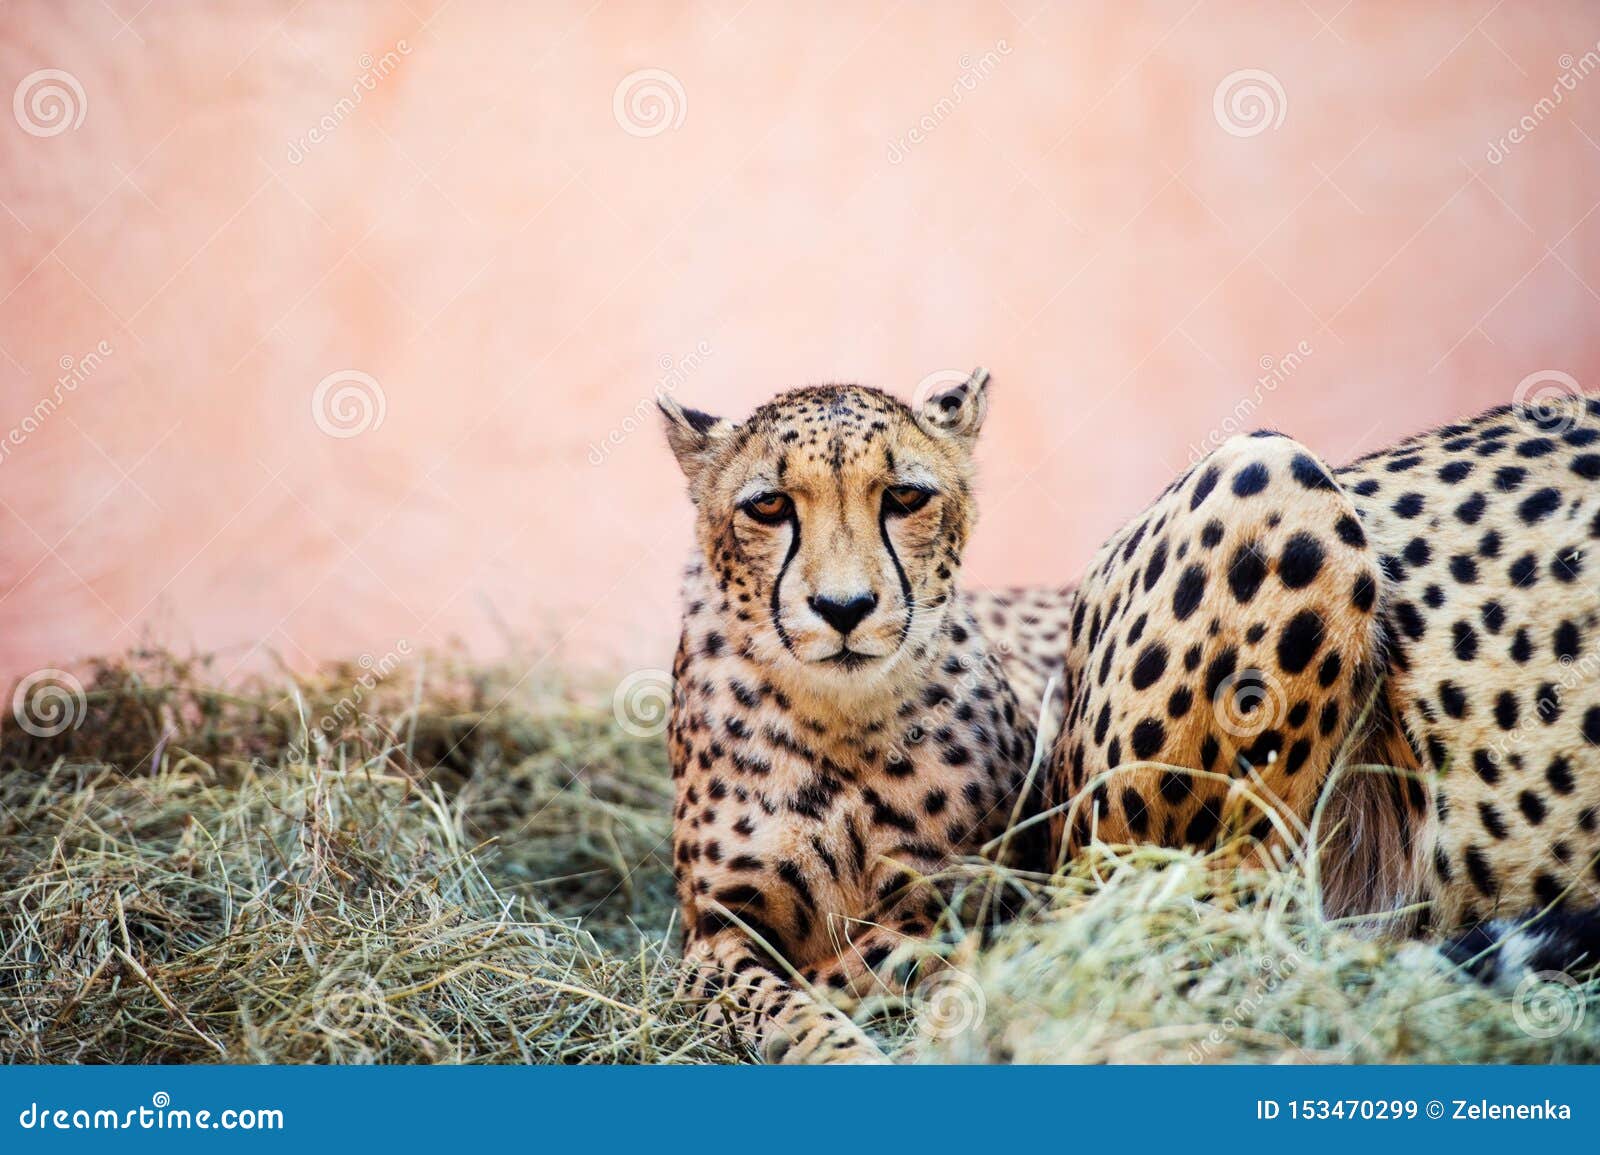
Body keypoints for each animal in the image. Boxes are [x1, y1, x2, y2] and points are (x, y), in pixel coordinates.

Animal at [658, 370, 1600, 1063]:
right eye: (769, 506)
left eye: (904, 497)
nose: (845, 607)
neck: (843, 727)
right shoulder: (715, 933)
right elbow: (770, 995)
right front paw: (839, 1044)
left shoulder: (979, 898)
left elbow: (897, 955)